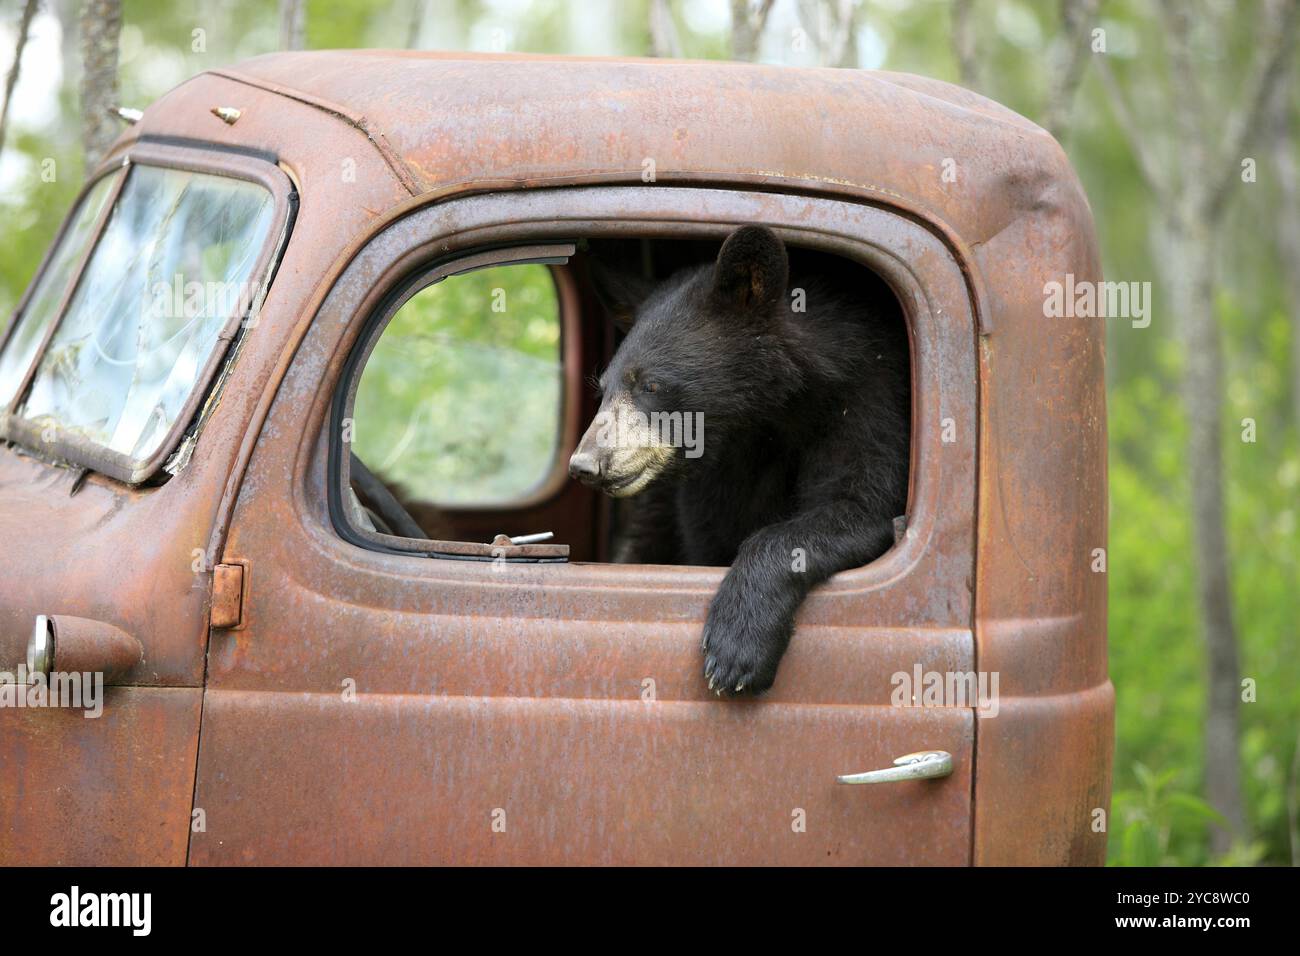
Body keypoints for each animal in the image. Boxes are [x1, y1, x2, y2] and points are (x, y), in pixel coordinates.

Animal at [568, 225, 910, 695]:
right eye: (604, 388)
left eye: (650, 385)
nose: (585, 464)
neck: (766, 418)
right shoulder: (714, 477)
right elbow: (709, 534)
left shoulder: (868, 398)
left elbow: (862, 498)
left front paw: (735, 648)